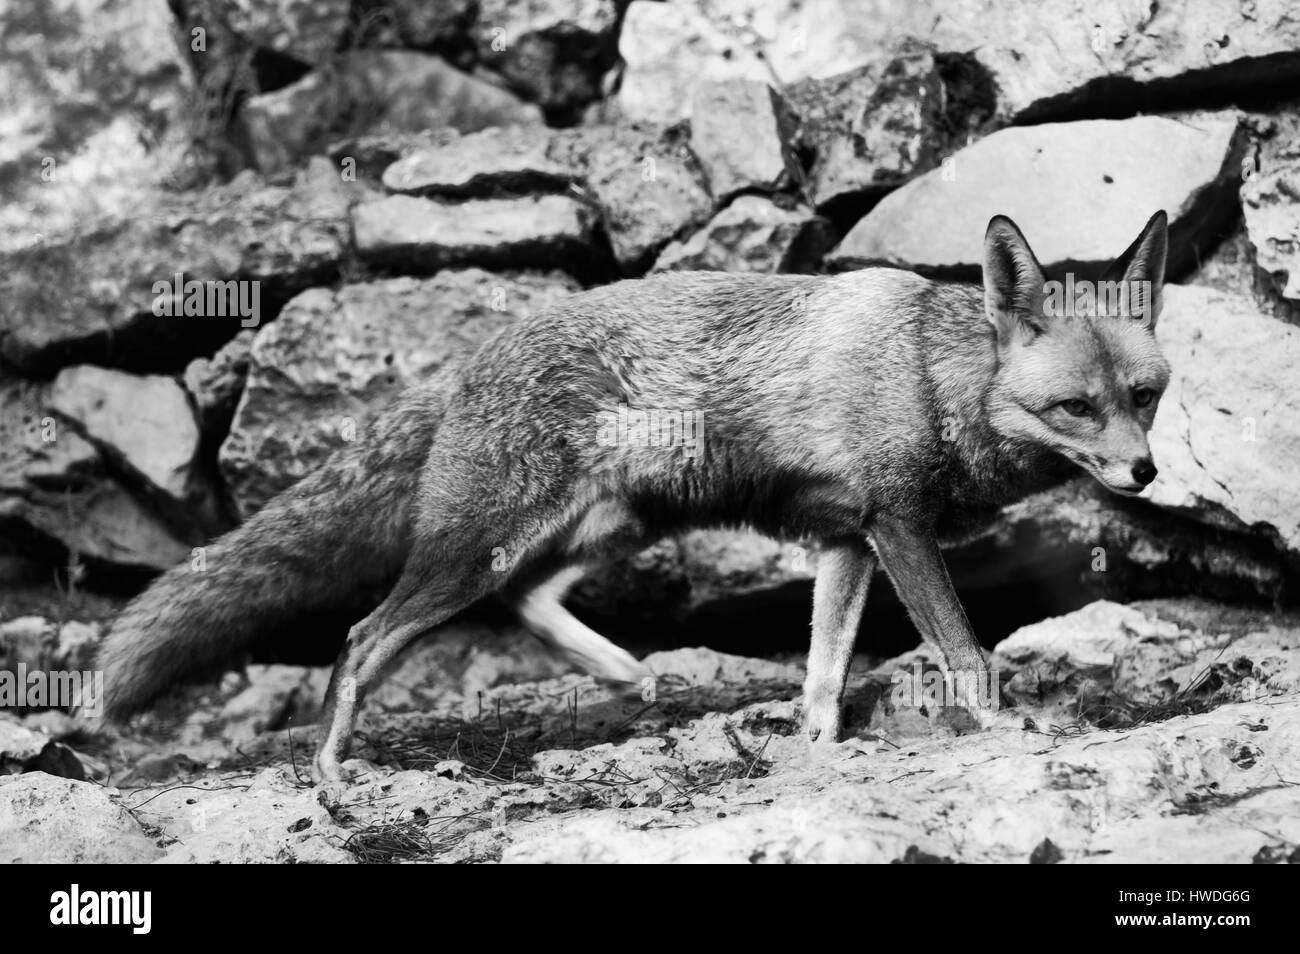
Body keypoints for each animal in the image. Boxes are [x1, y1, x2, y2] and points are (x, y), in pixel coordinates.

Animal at [97, 211, 1171, 781]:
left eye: (1145, 395)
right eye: (1075, 407)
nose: (1145, 473)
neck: (930, 375)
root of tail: (468, 358)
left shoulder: (846, 541)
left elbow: (823, 677)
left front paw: (814, 754)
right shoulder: (898, 526)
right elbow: (964, 654)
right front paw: (1009, 733)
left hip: (610, 525)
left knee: (525, 600)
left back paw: (622, 671)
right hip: (478, 547)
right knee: (364, 637)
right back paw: (330, 767)